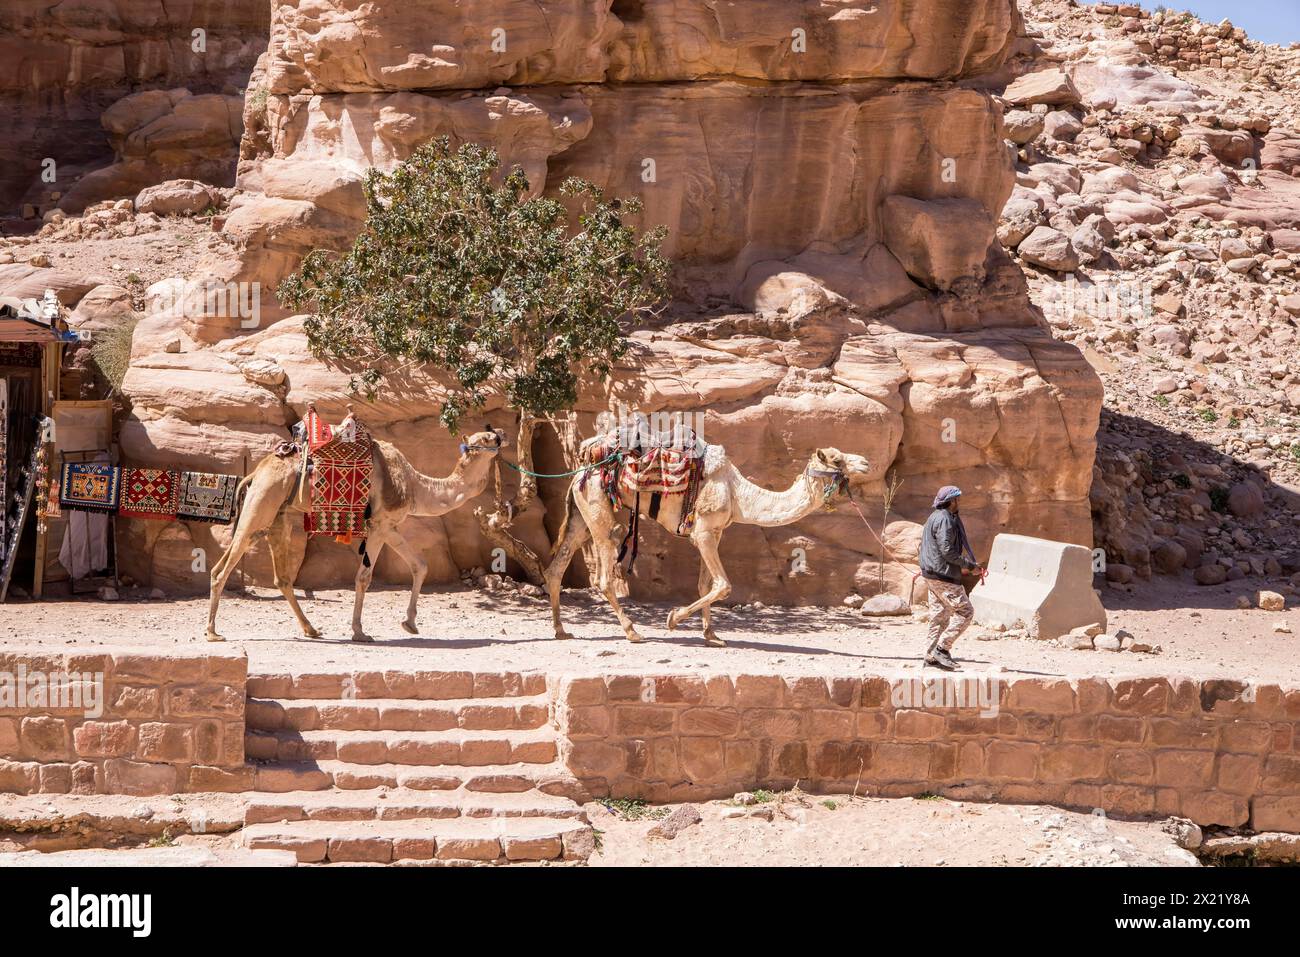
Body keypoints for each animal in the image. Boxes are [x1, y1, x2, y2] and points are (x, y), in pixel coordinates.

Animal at [205, 426, 504, 642]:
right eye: (485, 437)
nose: (502, 434)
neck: (413, 486)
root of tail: (256, 471)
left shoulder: (388, 526)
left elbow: (420, 565)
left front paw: (410, 623)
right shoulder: (380, 525)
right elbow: (363, 577)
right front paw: (360, 632)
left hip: (277, 517)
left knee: (281, 578)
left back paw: (311, 630)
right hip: (262, 503)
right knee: (224, 567)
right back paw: (212, 632)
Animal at [544, 441, 872, 646]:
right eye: (837, 459)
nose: (867, 462)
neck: (738, 494)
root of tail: (581, 471)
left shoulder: (713, 533)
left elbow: (705, 585)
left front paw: (711, 635)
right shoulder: (702, 532)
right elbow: (723, 585)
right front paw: (673, 619)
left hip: (580, 515)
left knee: (555, 569)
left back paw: (560, 630)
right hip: (598, 510)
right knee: (602, 575)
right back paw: (632, 631)